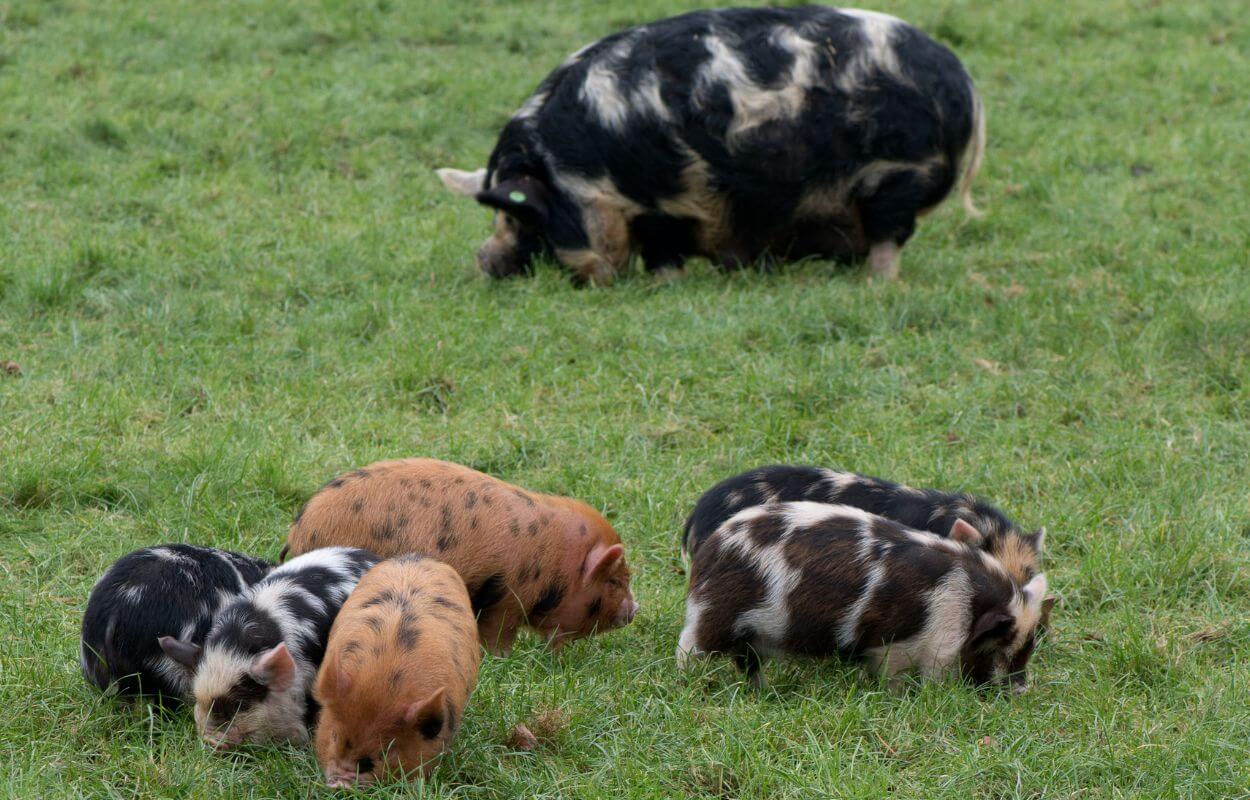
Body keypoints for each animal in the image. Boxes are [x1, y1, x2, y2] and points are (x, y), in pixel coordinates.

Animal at [283, 458, 638, 655]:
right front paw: (502, 659)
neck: (555, 564)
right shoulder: (508, 596)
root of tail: (299, 530)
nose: (635, 608)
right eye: (615, 580)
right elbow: (499, 633)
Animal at [437, 6, 985, 283]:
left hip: (897, 174)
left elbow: (662, 251)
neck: (578, 169)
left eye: (515, 216)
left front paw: (663, 286)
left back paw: (875, 286)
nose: (483, 260)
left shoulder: (662, 203)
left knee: (890, 237)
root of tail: (965, 83)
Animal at [677, 502, 1054, 691]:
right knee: (689, 645)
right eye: (999, 646)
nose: (1021, 690)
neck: (968, 603)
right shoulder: (900, 644)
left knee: (748, 662)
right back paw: (687, 682)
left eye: (1030, 645)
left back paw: (762, 691)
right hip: (717, 616)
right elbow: (898, 676)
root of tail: (709, 552)